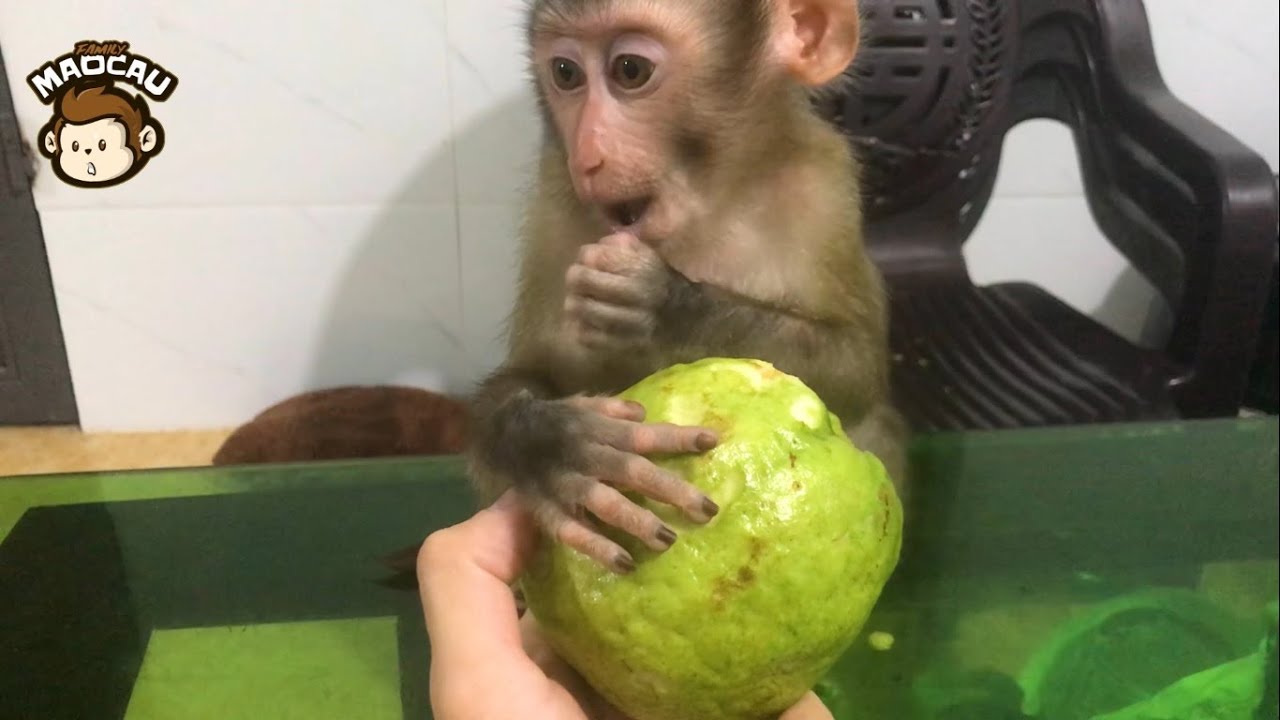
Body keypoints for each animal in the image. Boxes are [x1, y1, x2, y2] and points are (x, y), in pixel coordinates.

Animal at [466, 0, 908, 575]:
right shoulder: (554, 203)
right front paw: (547, 441)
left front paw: (662, 302)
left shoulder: (823, 185)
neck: (708, 205)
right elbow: (537, 372)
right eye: (565, 73)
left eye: (630, 70)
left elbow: (855, 371)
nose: (588, 156)